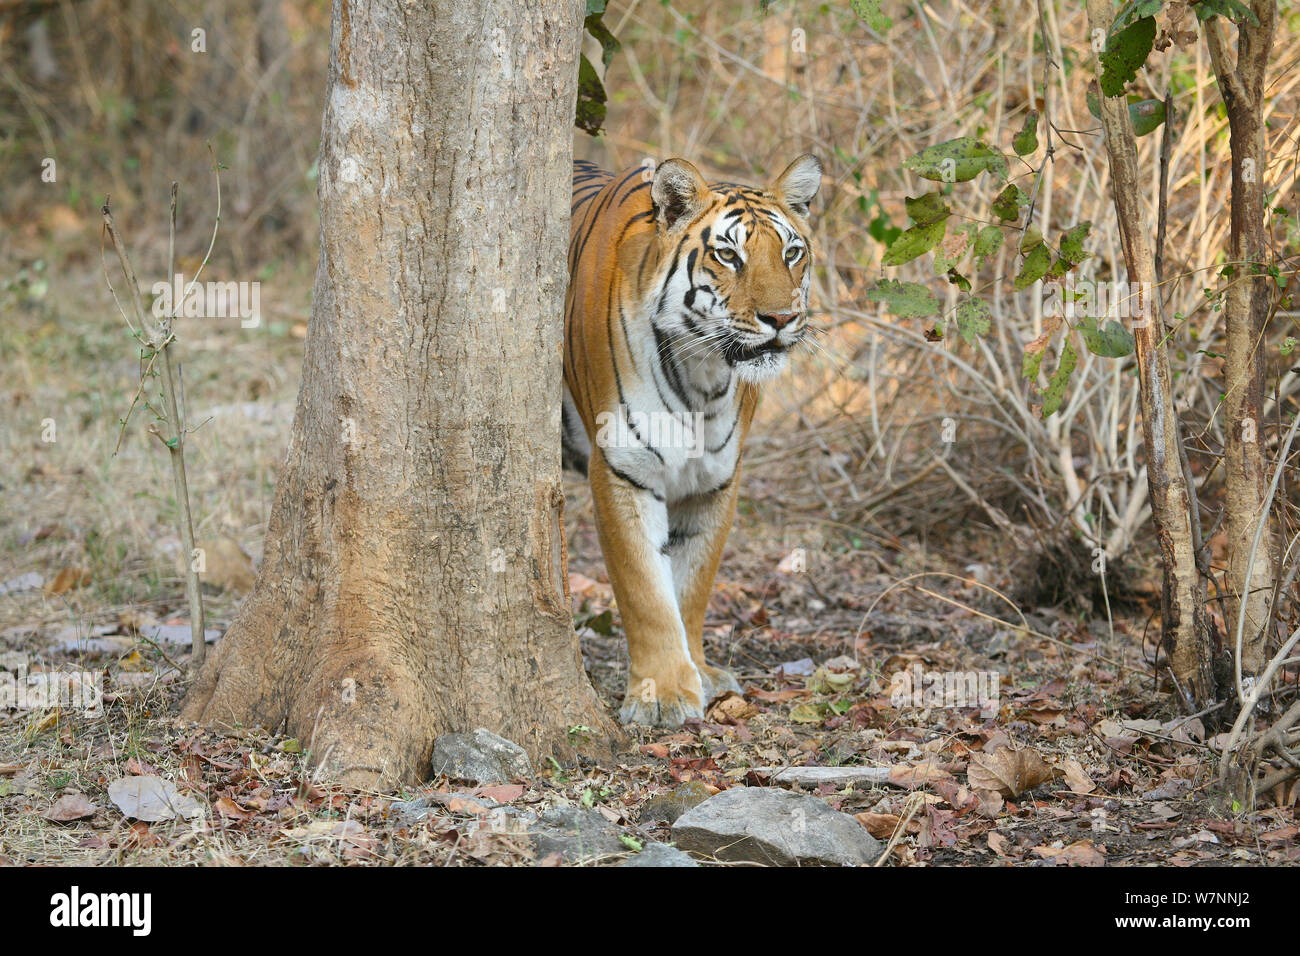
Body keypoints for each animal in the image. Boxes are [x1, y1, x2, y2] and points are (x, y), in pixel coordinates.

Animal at [562, 153, 821, 727]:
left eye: (791, 252)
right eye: (728, 255)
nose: (782, 319)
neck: (702, 376)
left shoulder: (715, 482)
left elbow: (692, 585)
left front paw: (699, 674)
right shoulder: (623, 471)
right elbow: (646, 592)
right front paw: (661, 695)